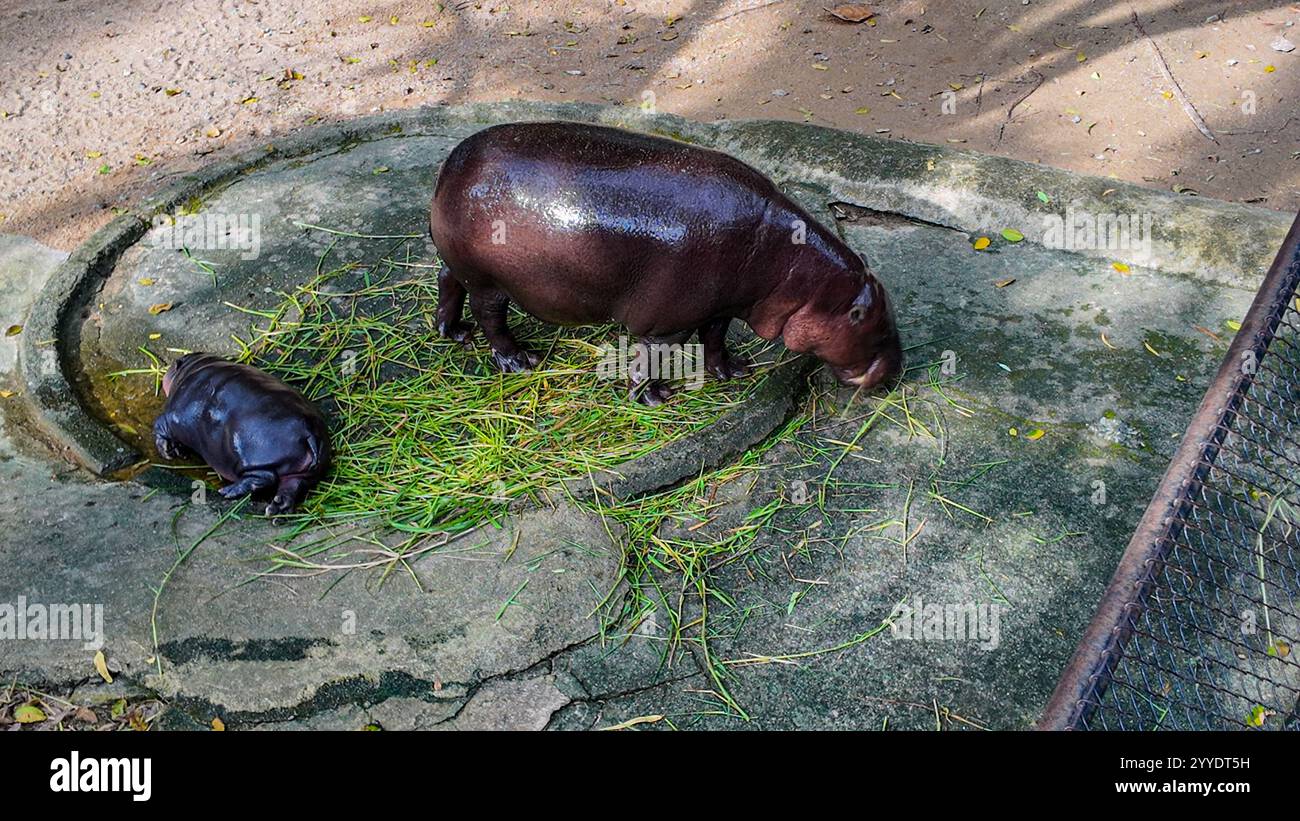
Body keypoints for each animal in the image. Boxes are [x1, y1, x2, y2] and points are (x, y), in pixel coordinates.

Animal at [152, 353, 330, 515]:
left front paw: (167, 451)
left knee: (265, 478)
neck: (191, 367)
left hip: (254, 458)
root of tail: (309, 432)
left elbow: (160, 425)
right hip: (303, 474)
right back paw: (276, 509)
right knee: (292, 486)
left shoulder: (173, 415)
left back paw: (227, 492)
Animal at [428, 121, 902, 404]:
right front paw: (655, 398)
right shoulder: (667, 323)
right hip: (490, 281)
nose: (897, 372)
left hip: (460, 263)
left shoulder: (720, 306)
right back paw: (519, 360)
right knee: (491, 317)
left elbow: (715, 339)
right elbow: (651, 358)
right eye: (877, 328)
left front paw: (733, 371)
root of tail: (452, 163)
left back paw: (453, 332)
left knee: (447, 280)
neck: (801, 278)